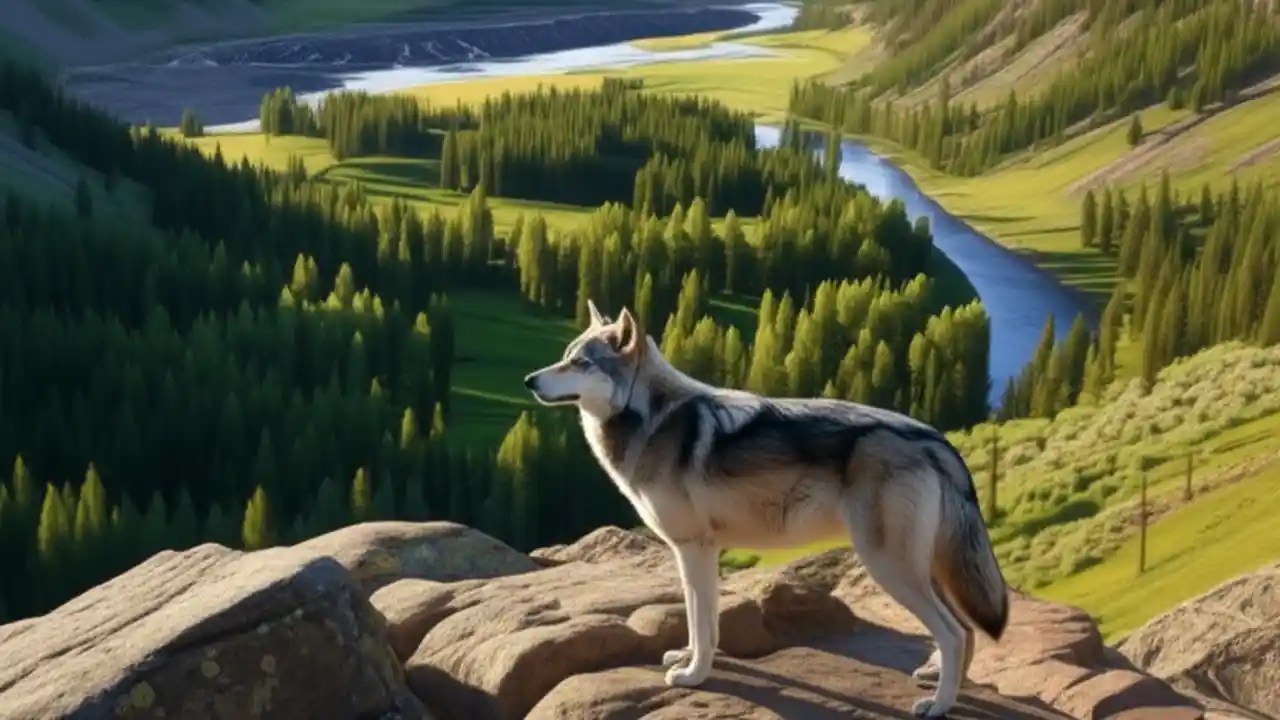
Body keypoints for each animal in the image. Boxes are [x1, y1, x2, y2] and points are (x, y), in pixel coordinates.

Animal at [523, 301, 1010, 718]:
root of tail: (935, 439)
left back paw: (938, 705)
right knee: (965, 631)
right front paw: (689, 658)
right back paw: (940, 682)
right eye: (565, 357)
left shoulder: (694, 548)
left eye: (581, 363)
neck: (652, 419)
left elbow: (702, 623)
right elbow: (701, 621)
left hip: (890, 567)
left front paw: (693, 676)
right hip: (923, 568)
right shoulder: (699, 553)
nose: (529, 380)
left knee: (952, 632)